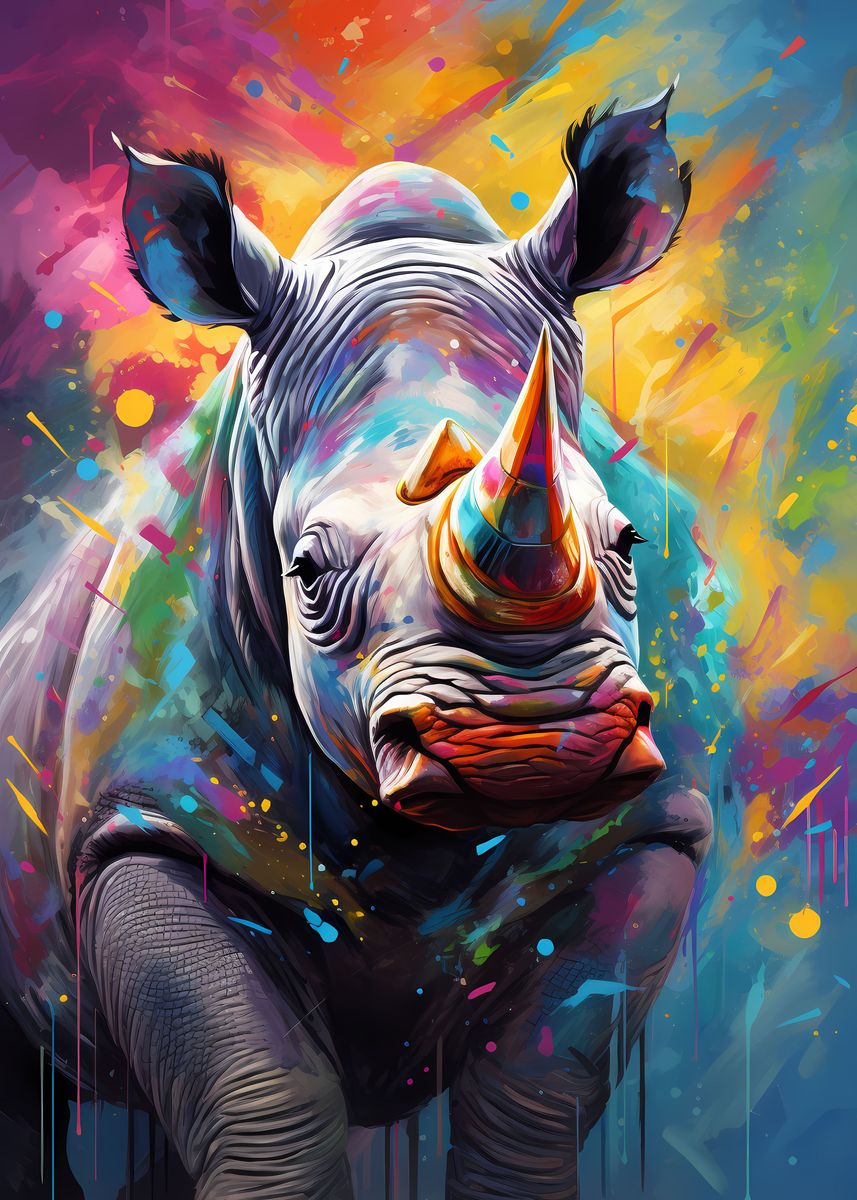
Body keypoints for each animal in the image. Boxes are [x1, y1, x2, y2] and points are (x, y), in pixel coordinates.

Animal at [0, 85, 711, 1199]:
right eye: (306, 573)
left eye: (628, 541)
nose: (528, 740)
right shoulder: (146, 820)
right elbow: (263, 1092)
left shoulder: (644, 831)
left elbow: (536, 1096)